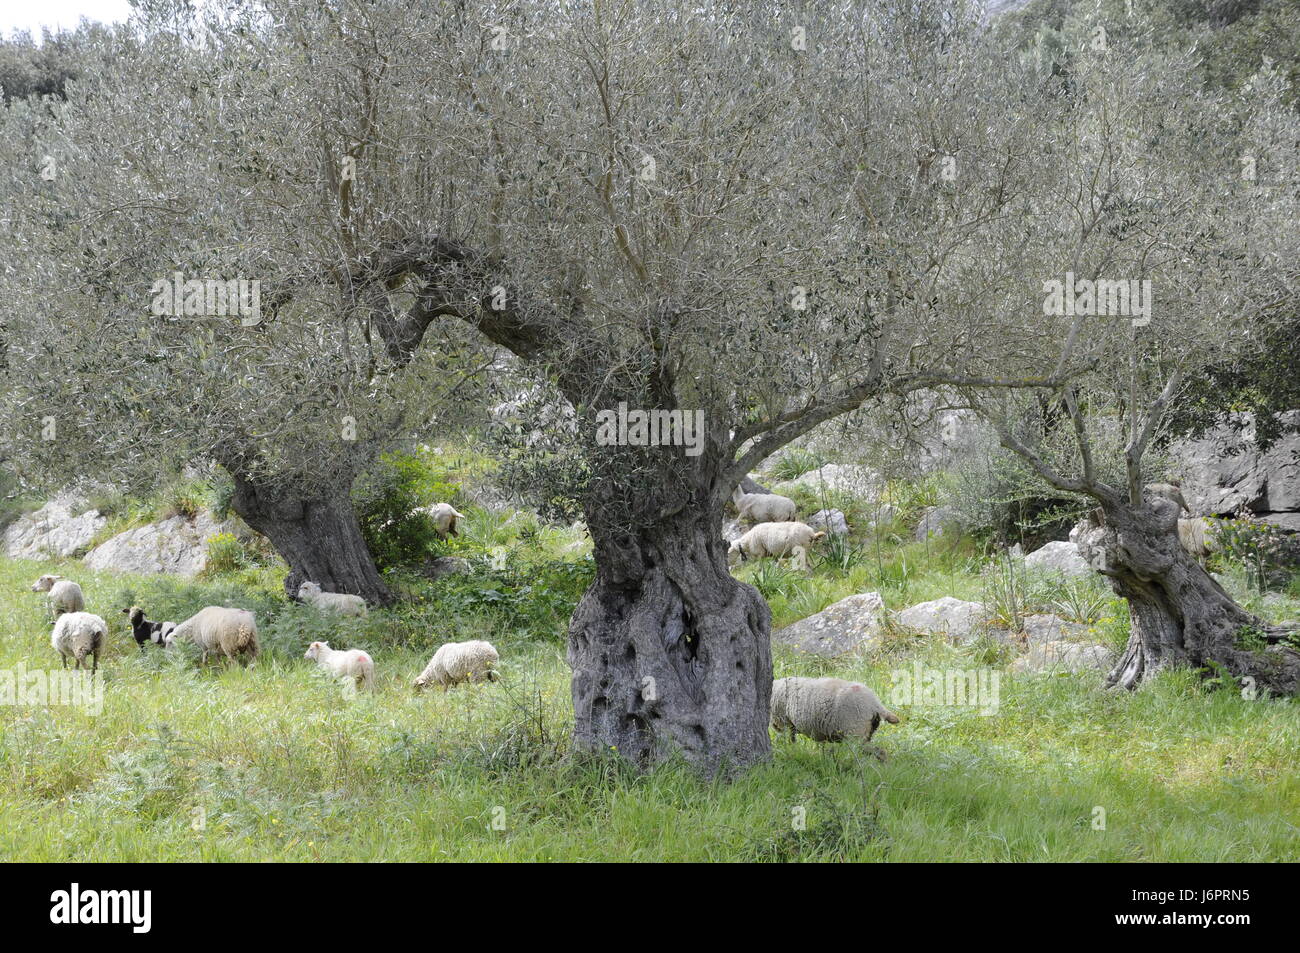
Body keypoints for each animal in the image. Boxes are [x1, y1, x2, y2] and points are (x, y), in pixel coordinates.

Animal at [771, 676, 900, 756]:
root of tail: (875, 703)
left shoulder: (784, 722)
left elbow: (787, 739)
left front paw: (789, 750)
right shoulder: (789, 725)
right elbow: (792, 739)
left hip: (855, 732)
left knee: (868, 751)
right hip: (867, 731)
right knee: (879, 751)